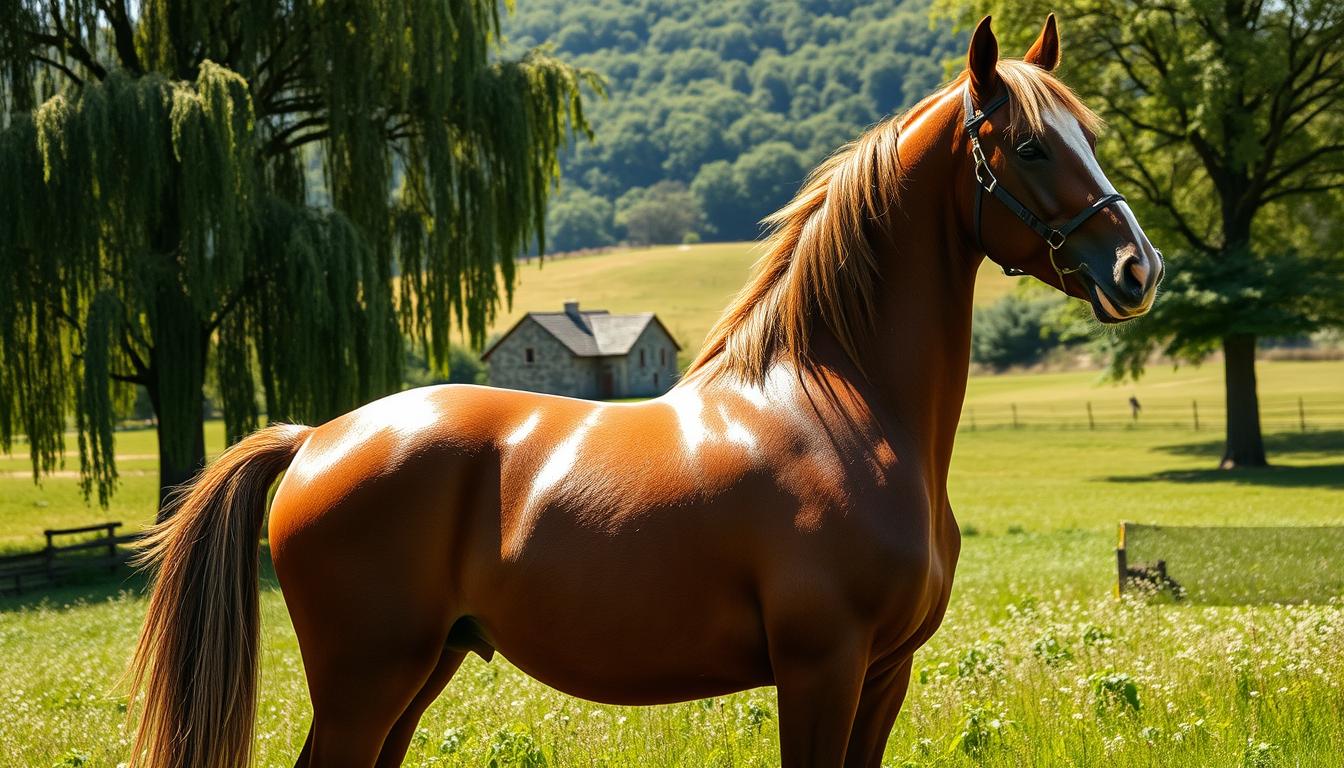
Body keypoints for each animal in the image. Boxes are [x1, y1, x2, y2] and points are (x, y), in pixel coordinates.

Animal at [128, 14, 1163, 768]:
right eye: (1029, 147)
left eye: (1087, 136)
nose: (1137, 269)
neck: (840, 409)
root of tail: (314, 438)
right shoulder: (822, 669)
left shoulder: (884, 678)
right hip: (366, 681)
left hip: (421, 672)